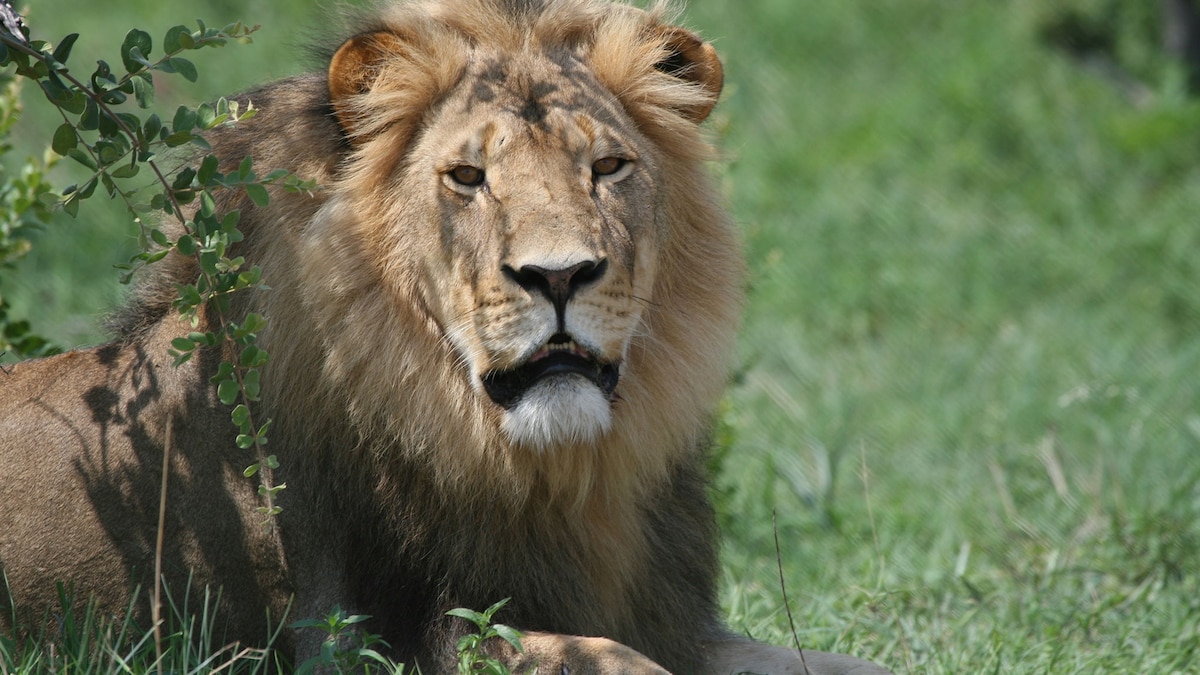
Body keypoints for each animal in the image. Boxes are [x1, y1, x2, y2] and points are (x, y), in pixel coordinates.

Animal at [0, 1, 889, 673]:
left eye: (607, 167)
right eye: (468, 177)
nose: (559, 275)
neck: (546, 471)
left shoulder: (680, 623)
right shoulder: (364, 640)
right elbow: (600, 655)